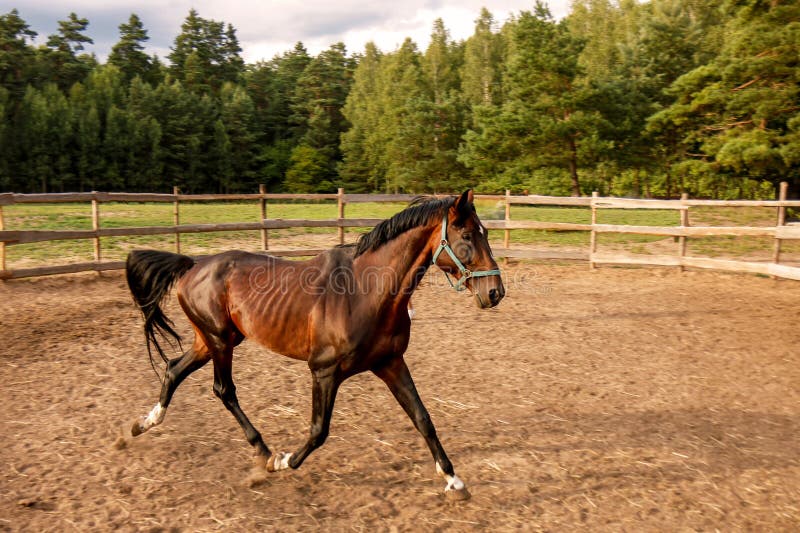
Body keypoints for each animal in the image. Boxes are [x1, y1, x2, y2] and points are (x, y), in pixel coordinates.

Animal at [125, 190, 504, 499]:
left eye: (485, 232)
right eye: (467, 235)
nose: (495, 292)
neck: (365, 293)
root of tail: (193, 264)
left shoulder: (391, 363)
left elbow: (423, 418)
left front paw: (454, 481)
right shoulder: (324, 371)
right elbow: (319, 430)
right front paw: (283, 461)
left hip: (213, 340)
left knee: (173, 369)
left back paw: (142, 424)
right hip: (220, 341)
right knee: (223, 389)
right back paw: (264, 452)